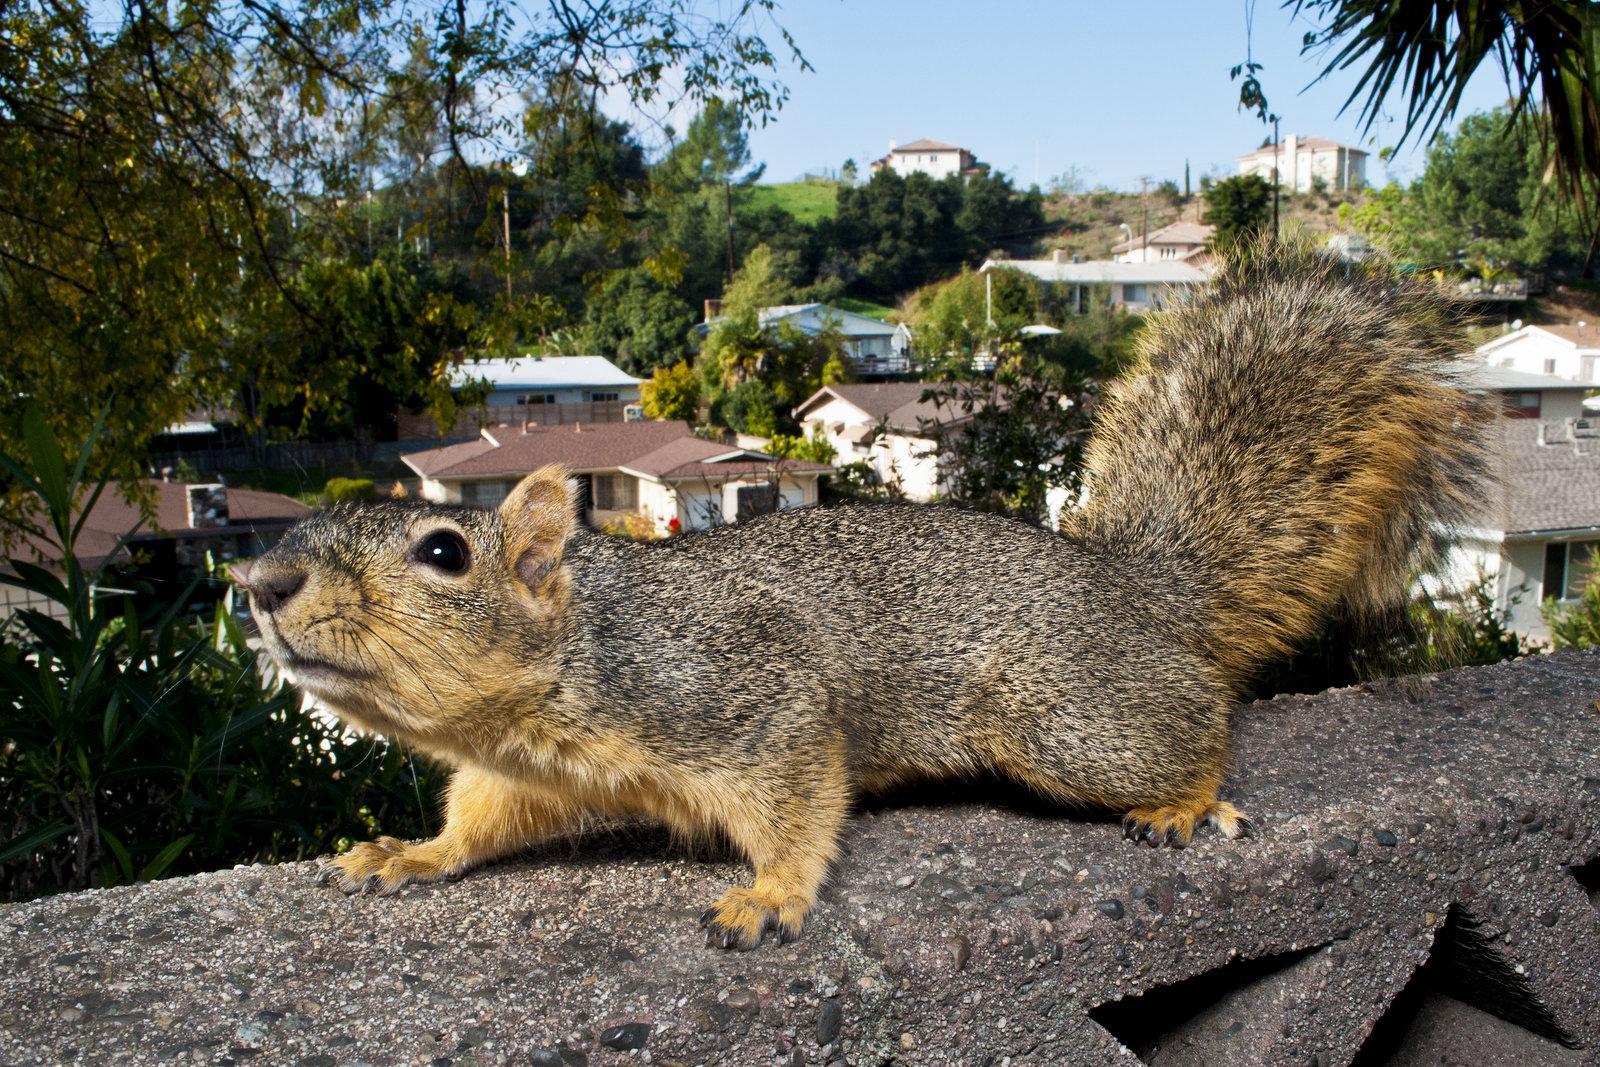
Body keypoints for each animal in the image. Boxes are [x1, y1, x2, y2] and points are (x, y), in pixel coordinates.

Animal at [234, 243, 1488, 950]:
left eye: (445, 551)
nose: (259, 583)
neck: (584, 646)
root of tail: (1125, 590)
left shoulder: (745, 692)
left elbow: (796, 801)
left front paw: (774, 893)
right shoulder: (519, 772)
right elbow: (480, 824)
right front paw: (409, 851)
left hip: (1063, 715)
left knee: (1193, 724)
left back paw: (1186, 801)